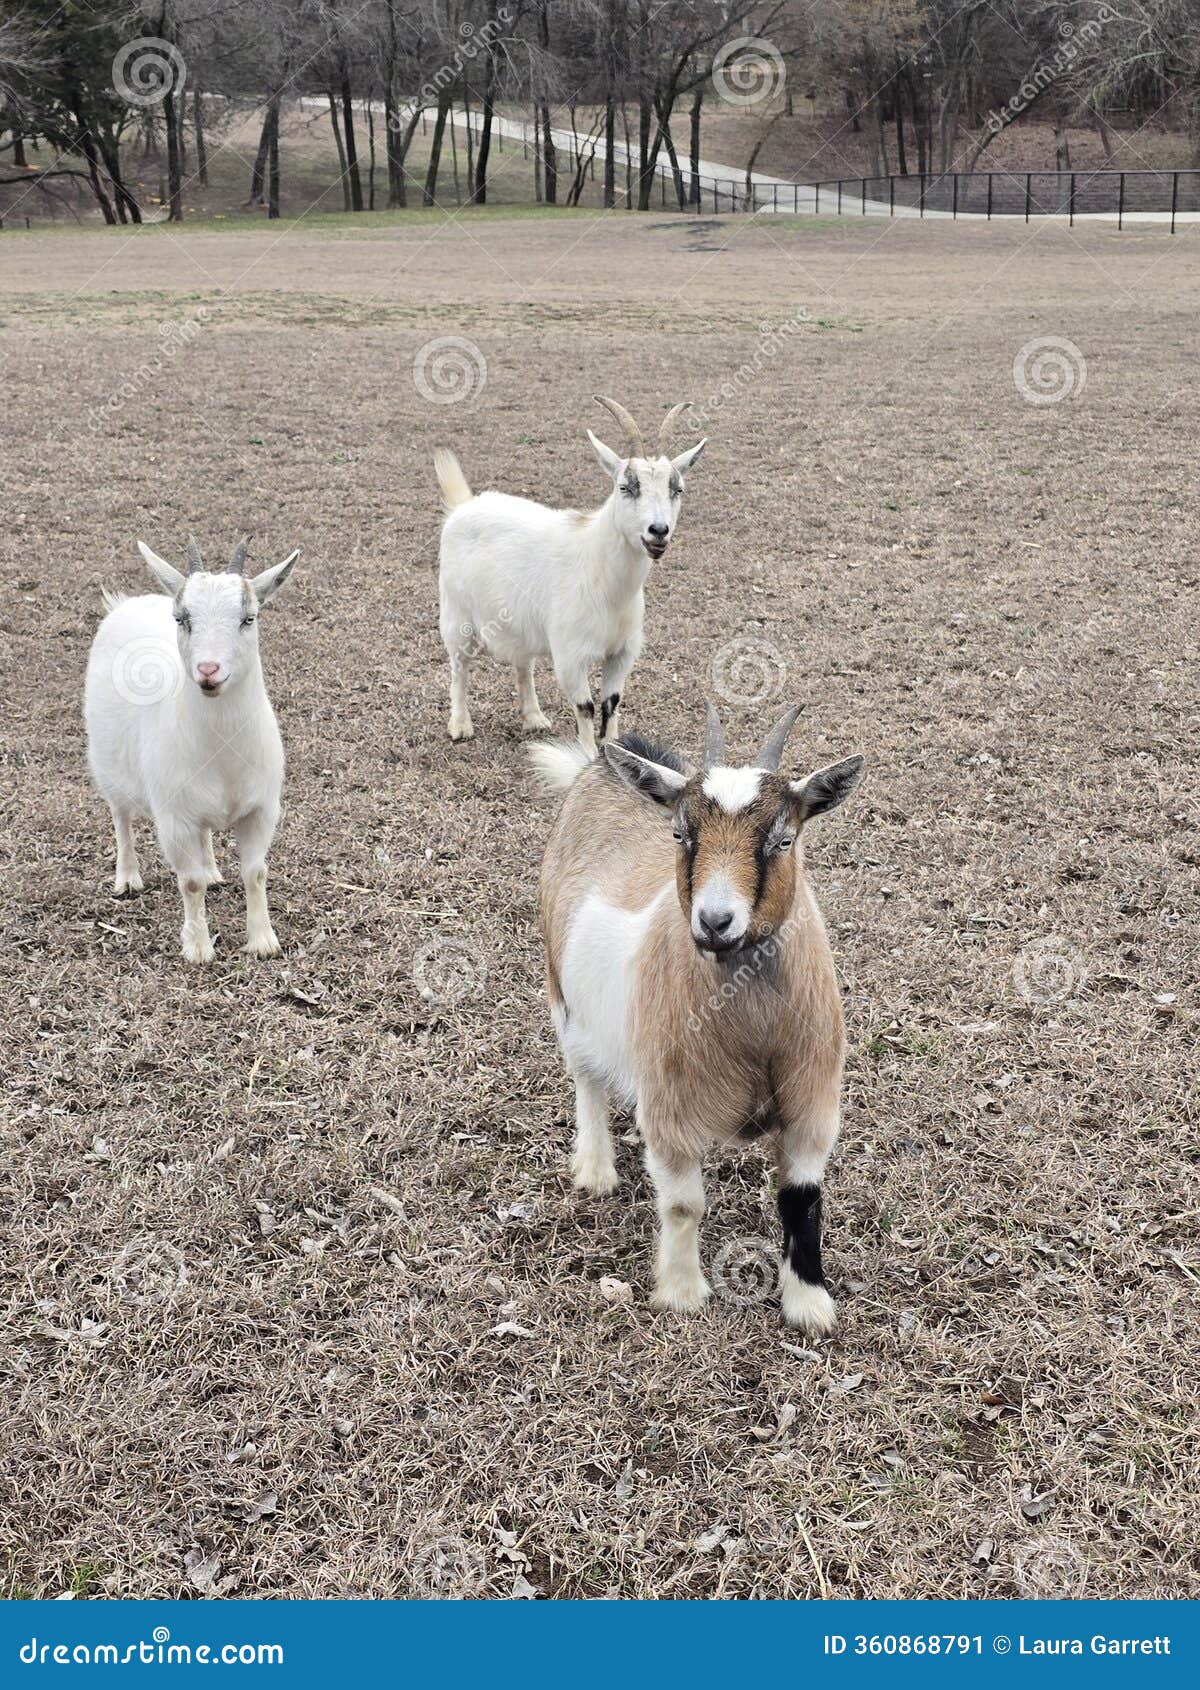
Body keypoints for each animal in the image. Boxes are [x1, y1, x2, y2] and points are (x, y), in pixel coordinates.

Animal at [84, 536, 299, 964]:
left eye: (249, 618)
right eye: (182, 618)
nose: (209, 671)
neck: (223, 752)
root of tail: (126, 604)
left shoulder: (262, 810)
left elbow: (256, 872)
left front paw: (263, 941)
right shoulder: (174, 819)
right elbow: (191, 882)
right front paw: (198, 947)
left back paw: (215, 870)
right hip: (107, 767)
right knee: (121, 817)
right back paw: (127, 877)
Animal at [435, 395, 705, 749]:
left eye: (678, 489)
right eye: (625, 487)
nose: (658, 531)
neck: (603, 578)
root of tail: (464, 505)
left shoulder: (623, 652)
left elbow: (611, 702)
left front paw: (613, 749)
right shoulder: (570, 655)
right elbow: (585, 707)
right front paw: (588, 755)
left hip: (518, 621)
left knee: (523, 664)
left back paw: (534, 717)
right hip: (456, 614)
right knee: (459, 665)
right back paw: (460, 725)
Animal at [531, 705, 864, 1334]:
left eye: (783, 839)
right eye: (681, 835)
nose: (715, 921)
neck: (755, 1032)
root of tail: (601, 765)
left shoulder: (812, 1103)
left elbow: (802, 1201)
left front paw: (809, 1303)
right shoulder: (675, 1110)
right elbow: (685, 1204)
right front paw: (683, 1292)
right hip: (563, 993)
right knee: (585, 1077)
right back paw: (595, 1168)